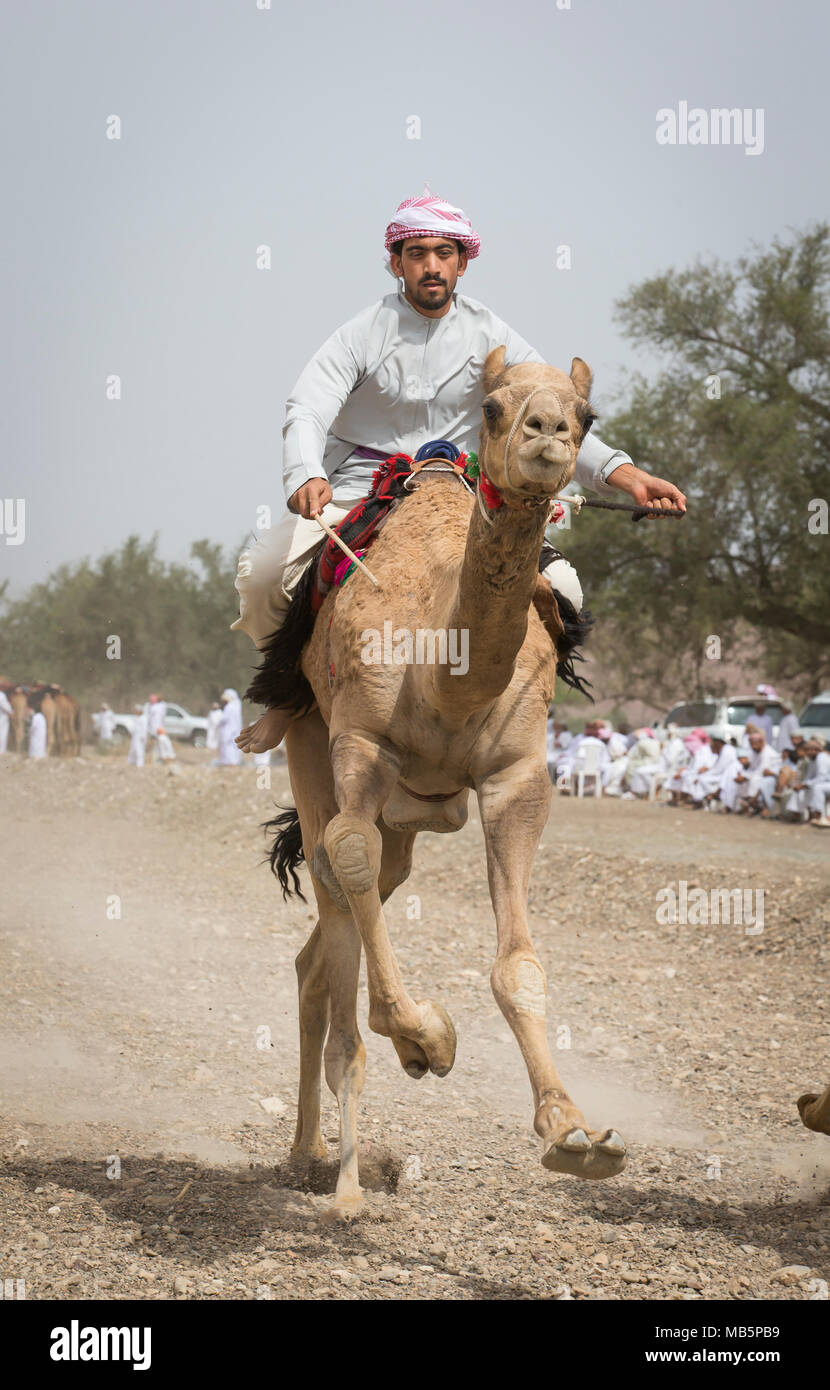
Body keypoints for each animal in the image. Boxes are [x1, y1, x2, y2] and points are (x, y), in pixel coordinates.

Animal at [255, 347, 626, 1212]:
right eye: (492, 406)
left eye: (587, 416)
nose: (548, 434)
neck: (443, 665)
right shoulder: (361, 741)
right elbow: (349, 856)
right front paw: (428, 1037)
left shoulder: (517, 777)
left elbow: (517, 962)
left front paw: (572, 1132)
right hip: (309, 743)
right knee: (335, 888)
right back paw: (327, 1169)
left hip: (407, 828)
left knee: (328, 941)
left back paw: (321, 1156)